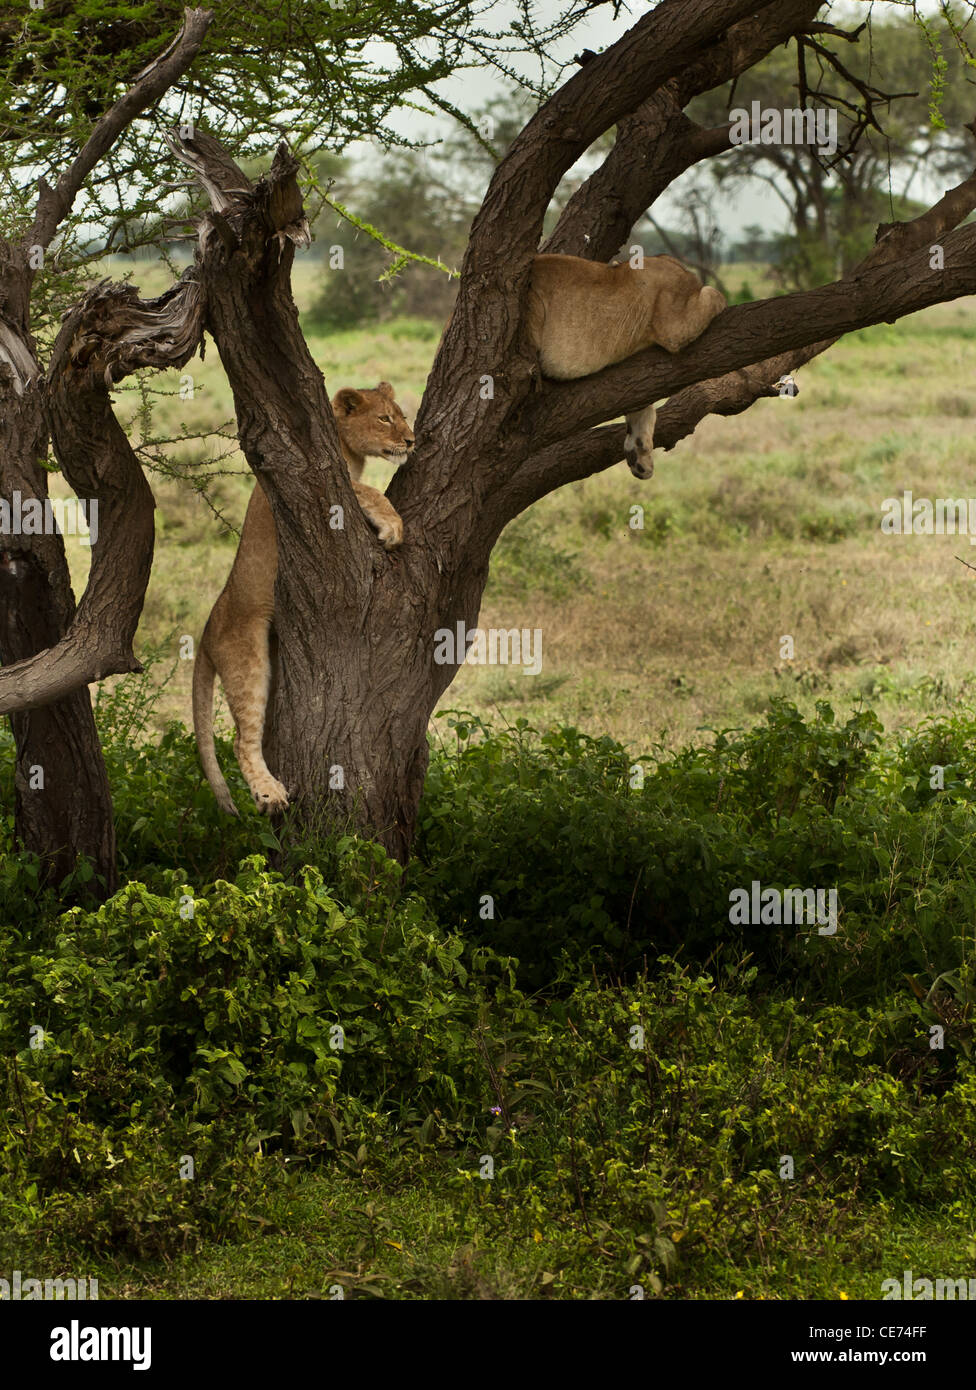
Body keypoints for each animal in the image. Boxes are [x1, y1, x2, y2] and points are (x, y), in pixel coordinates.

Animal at [193, 381, 414, 815]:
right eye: (385, 418)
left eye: (402, 415)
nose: (412, 441)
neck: (348, 448)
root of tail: (207, 629)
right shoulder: (327, 488)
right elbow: (372, 493)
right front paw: (392, 528)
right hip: (247, 659)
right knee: (241, 740)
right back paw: (270, 793)